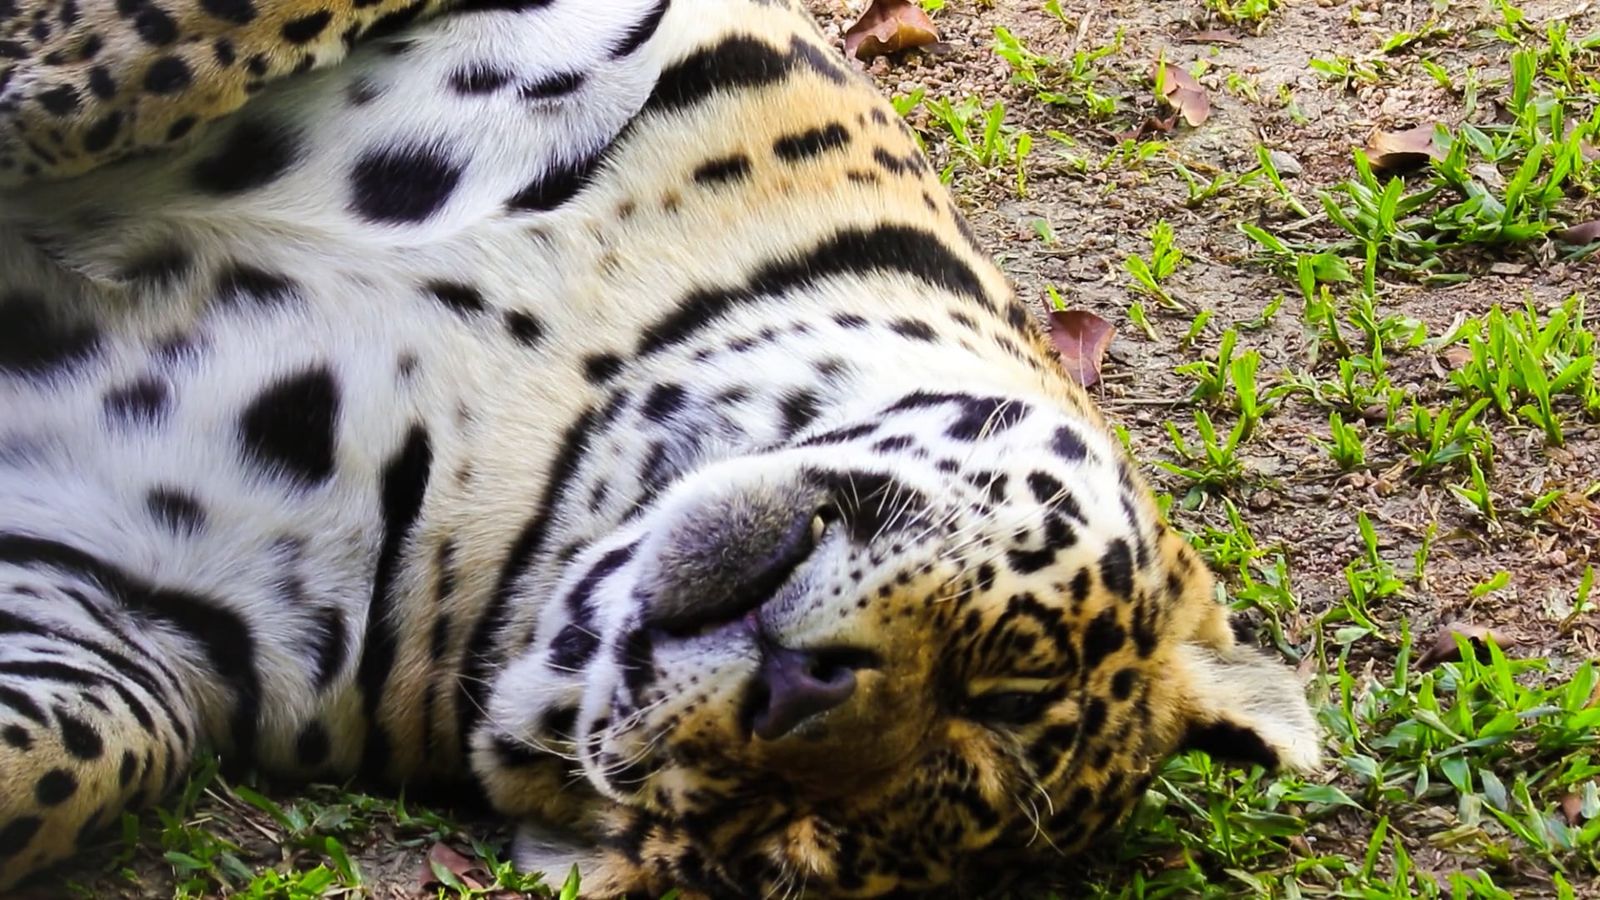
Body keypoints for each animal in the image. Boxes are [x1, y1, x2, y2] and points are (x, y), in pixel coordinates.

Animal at [0, 0, 1323, 896]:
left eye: (782, 845)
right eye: (1002, 684)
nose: (795, 693)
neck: (559, 436)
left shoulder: (124, 624)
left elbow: (58, 764)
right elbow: (185, 41)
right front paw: (39, 79)